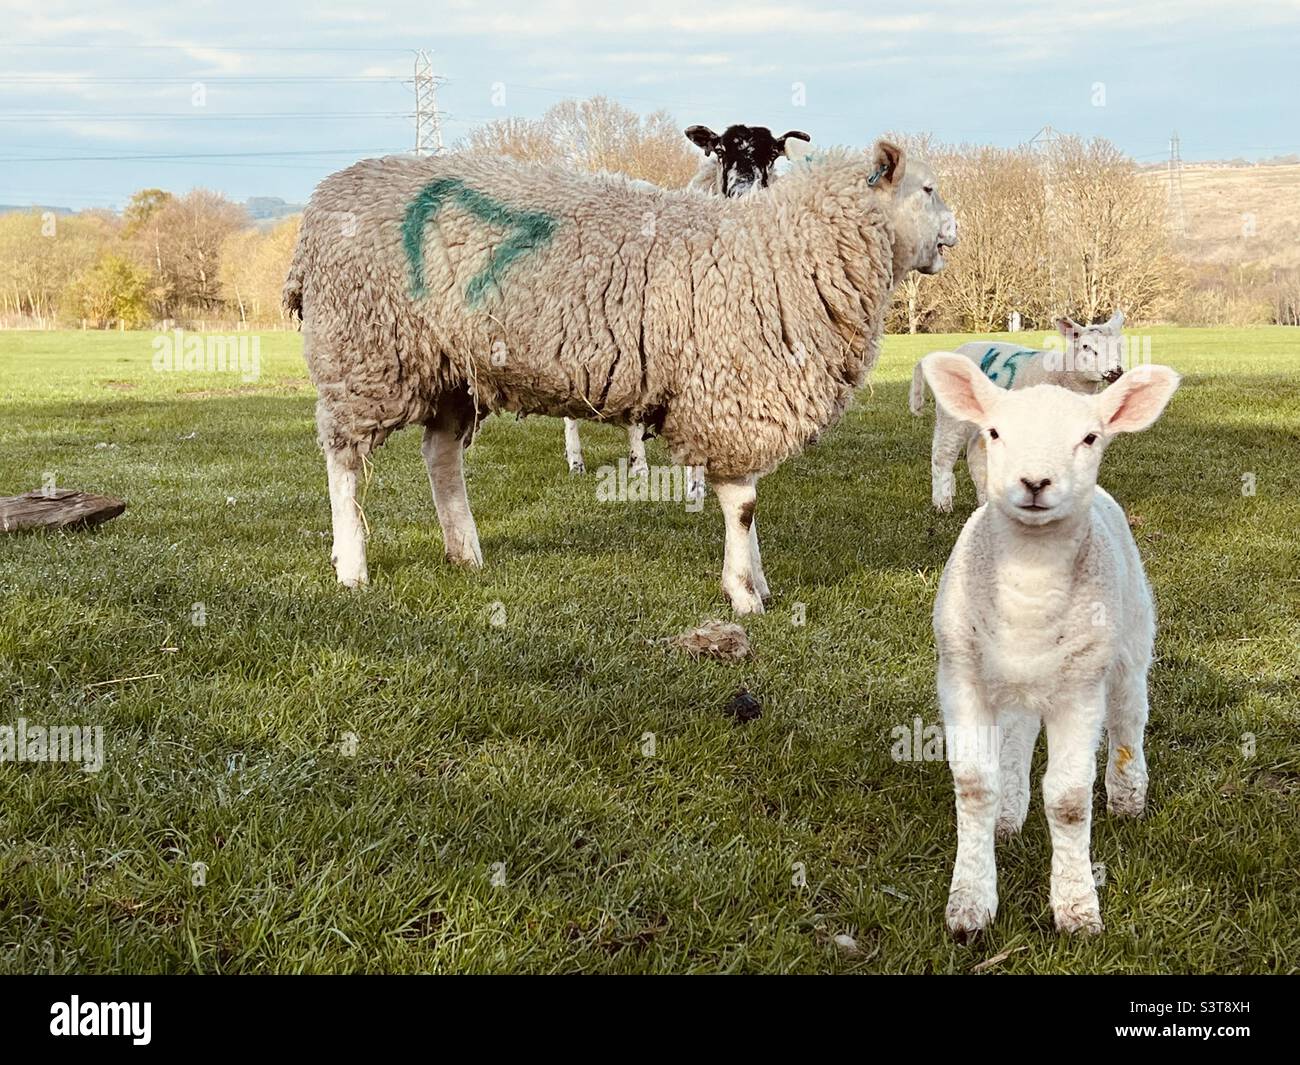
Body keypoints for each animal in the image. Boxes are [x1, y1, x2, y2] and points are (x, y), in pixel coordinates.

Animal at [911, 311, 1127, 511]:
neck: (1063, 375)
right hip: (951, 415)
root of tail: (954, 351)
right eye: (1086, 347)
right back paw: (942, 504)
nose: (1116, 372)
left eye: (1119, 346)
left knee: (975, 455)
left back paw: (984, 502)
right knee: (943, 454)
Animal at [919, 351, 1180, 937]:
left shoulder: (1080, 688)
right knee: (1018, 735)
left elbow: (1068, 801)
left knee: (1130, 713)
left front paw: (1077, 910)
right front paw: (970, 904)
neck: (1030, 587)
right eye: (994, 431)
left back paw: (1128, 795)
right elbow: (975, 784)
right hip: (1015, 680)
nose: (1035, 481)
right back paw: (1008, 814)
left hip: (1130, 637)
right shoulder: (961, 673)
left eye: (1090, 437)